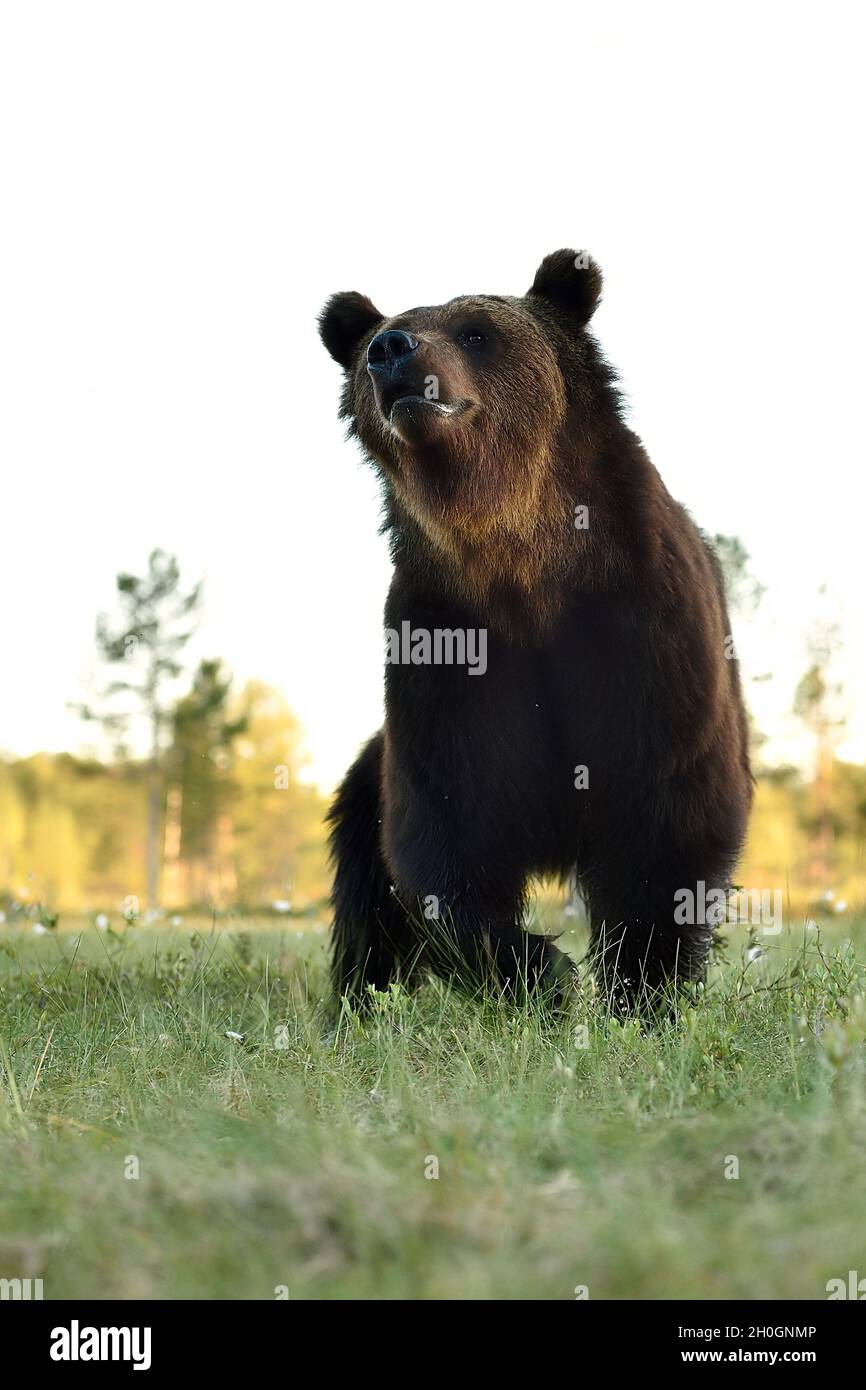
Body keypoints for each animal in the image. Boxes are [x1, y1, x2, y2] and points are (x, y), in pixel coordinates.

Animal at [318, 249, 752, 1011]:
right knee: (365, 900)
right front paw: (543, 975)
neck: (522, 562)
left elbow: (665, 818)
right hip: (369, 775)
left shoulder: (642, 627)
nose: (389, 349)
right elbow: (444, 832)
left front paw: (641, 990)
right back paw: (356, 1006)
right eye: (385, 331)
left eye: (475, 331)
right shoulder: (447, 644)